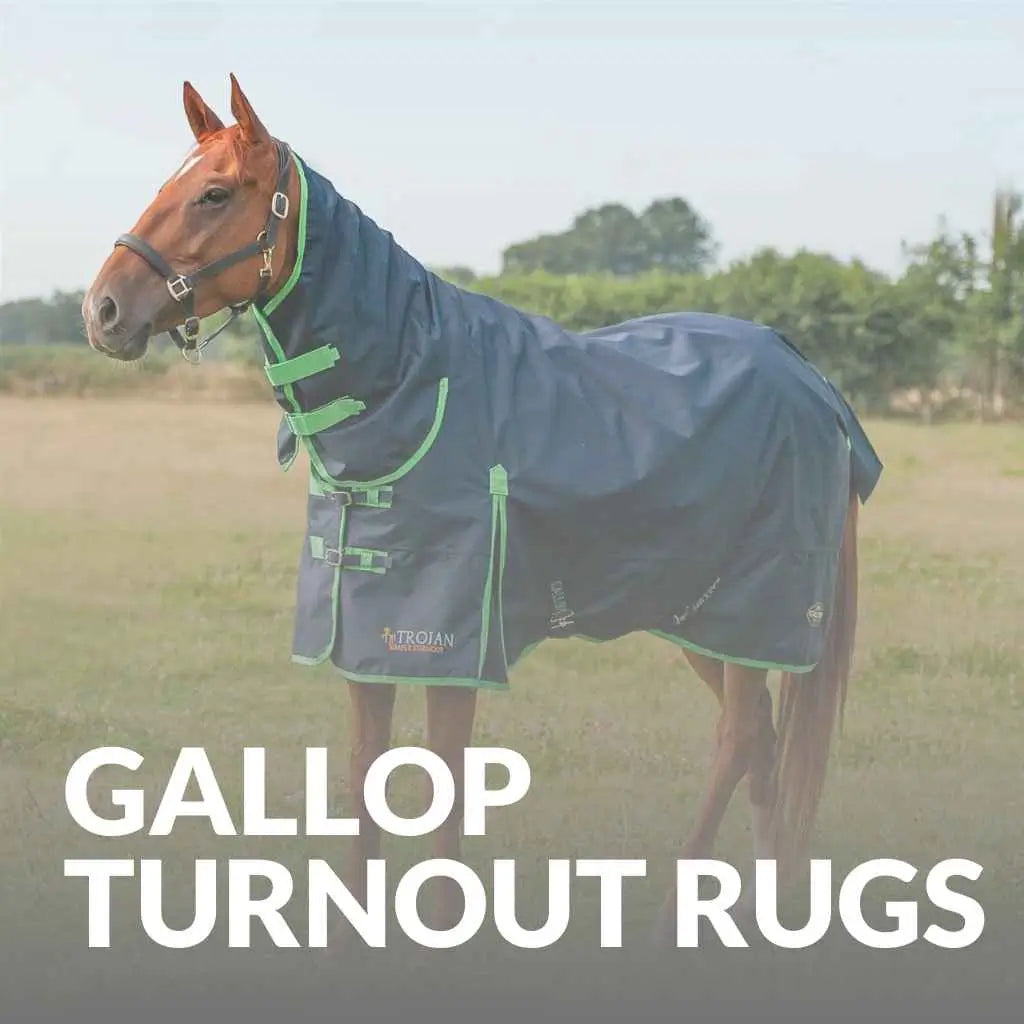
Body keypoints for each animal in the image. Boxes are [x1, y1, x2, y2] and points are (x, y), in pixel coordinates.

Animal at [82, 75, 881, 941]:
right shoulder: (364, 647)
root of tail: (812, 379)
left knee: (739, 740)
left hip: (755, 612)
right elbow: (363, 791)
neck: (414, 385)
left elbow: (443, 803)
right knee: (764, 744)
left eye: (215, 193)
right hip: (704, 619)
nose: (102, 311)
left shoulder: (449, 652)